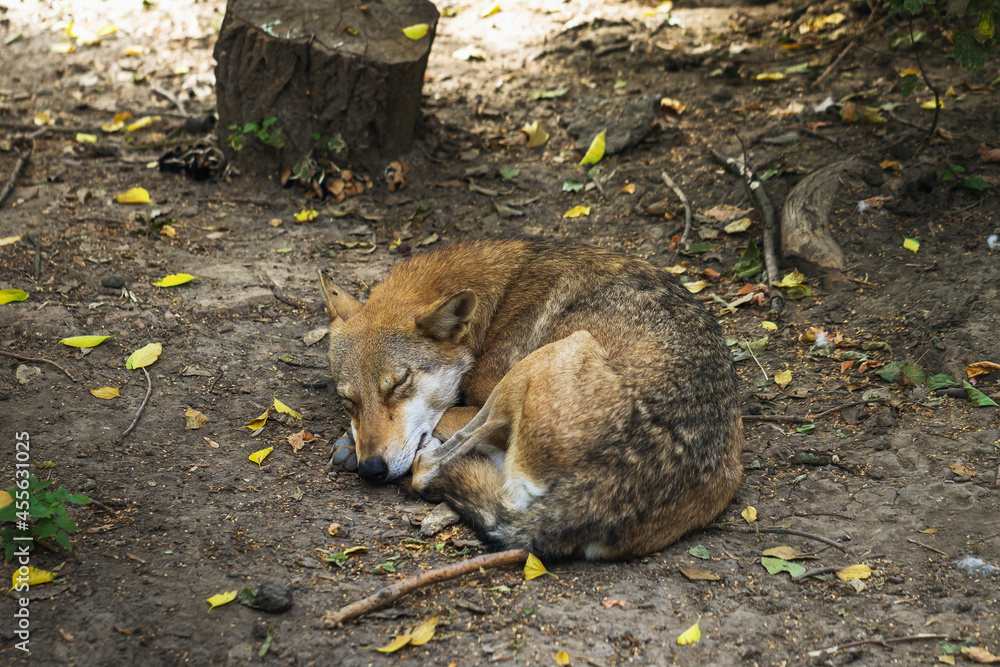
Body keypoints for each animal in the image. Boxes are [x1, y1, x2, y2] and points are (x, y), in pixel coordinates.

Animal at [319, 239, 743, 560]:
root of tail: (591, 496)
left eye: (399, 384)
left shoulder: (480, 400)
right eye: (348, 401)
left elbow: (437, 422)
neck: (499, 302)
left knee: (429, 468)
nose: (372, 470)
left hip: (543, 358)